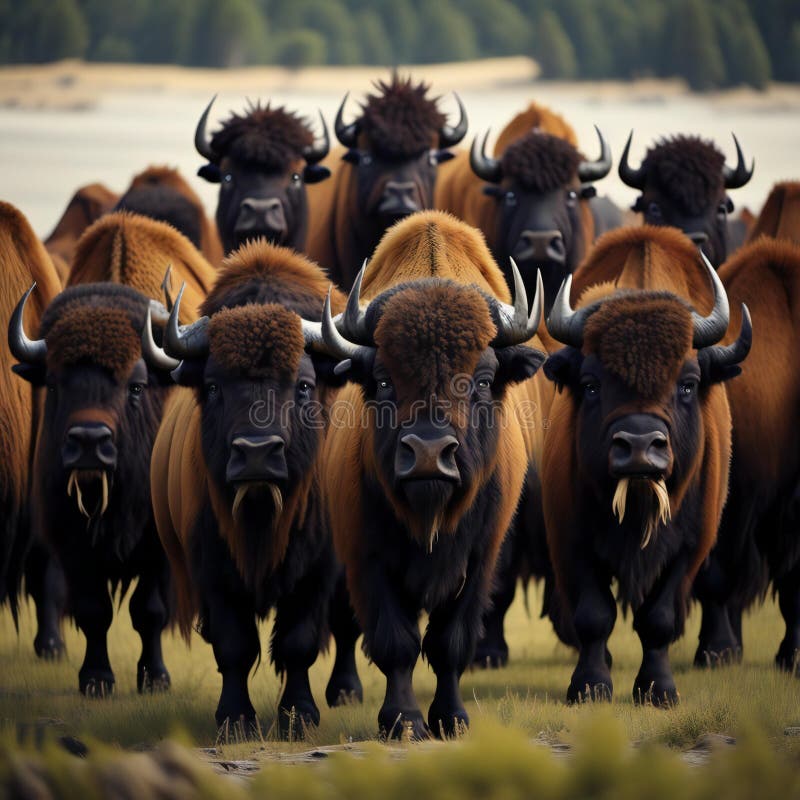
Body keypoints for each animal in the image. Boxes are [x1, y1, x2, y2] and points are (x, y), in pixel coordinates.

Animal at [542, 238, 751, 704]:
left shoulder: (689, 548)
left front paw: (659, 690)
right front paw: (590, 686)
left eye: (688, 383)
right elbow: (594, 615)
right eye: (591, 384)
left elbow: (658, 618)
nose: (639, 447)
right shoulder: (571, 541)